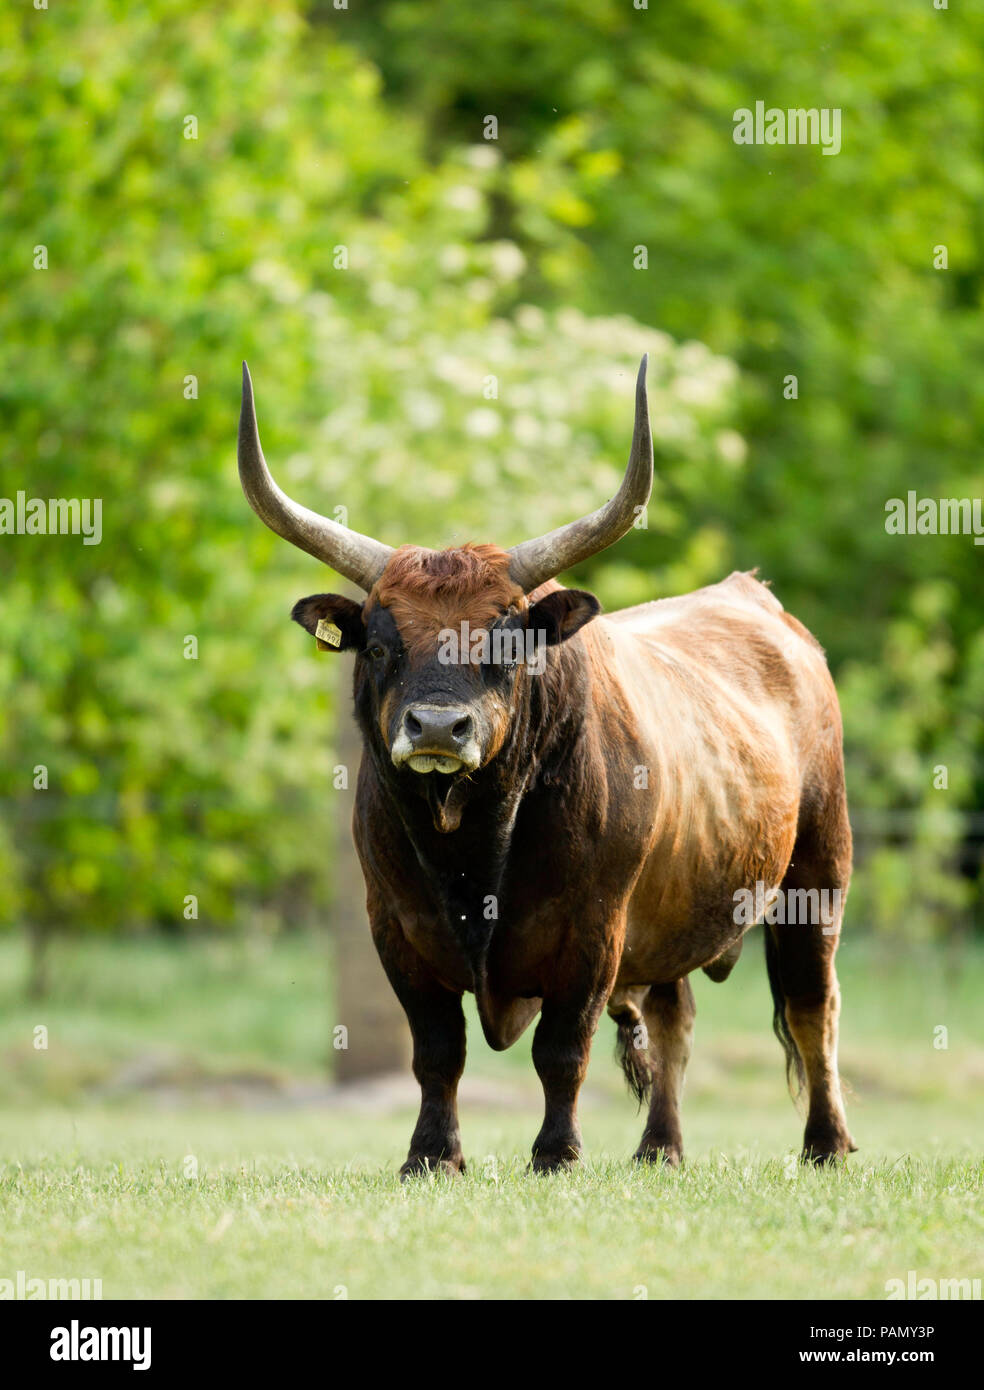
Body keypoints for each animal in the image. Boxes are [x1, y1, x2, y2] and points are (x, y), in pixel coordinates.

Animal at [238, 355, 856, 1175]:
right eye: (378, 642)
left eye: (506, 639)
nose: (439, 726)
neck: (471, 845)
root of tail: (757, 600)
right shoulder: (394, 930)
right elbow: (437, 1052)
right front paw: (431, 1155)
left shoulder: (592, 933)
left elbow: (562, 1051)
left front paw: (556, 1152)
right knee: (675, 1019)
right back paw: (659, 1148)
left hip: (818, 875)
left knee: (814, 1007)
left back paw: (827, 1142)